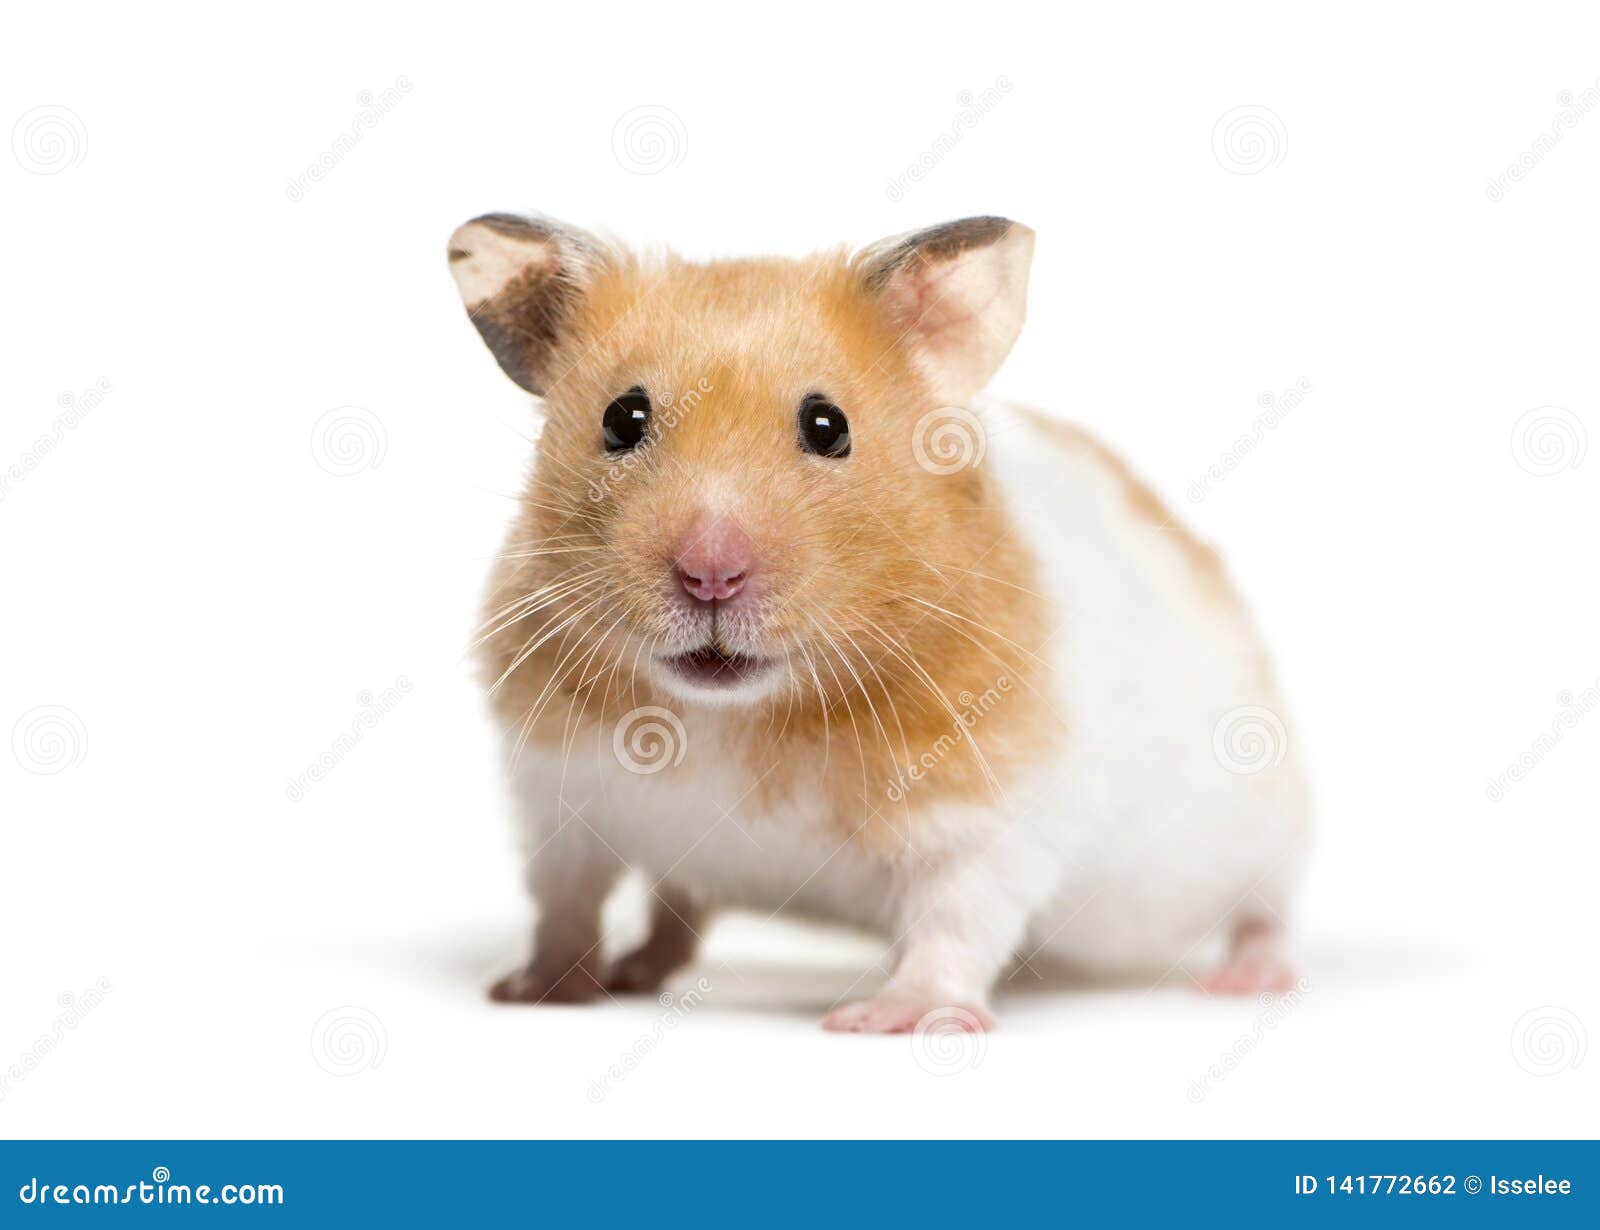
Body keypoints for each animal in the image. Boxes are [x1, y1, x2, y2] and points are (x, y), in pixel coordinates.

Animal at [446, 212, 1309, 1032]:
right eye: (622, 419)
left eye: (828, 427)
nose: (710, 573)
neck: (732, 716)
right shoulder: (554, 796)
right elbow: (565, 901)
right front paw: (533, 992)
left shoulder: (987, 812)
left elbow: (956, 920)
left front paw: (888, 1020)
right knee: (675, 909)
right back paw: (635, 970)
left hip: (1261, 822)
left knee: (1269, 907)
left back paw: (1247, 979)